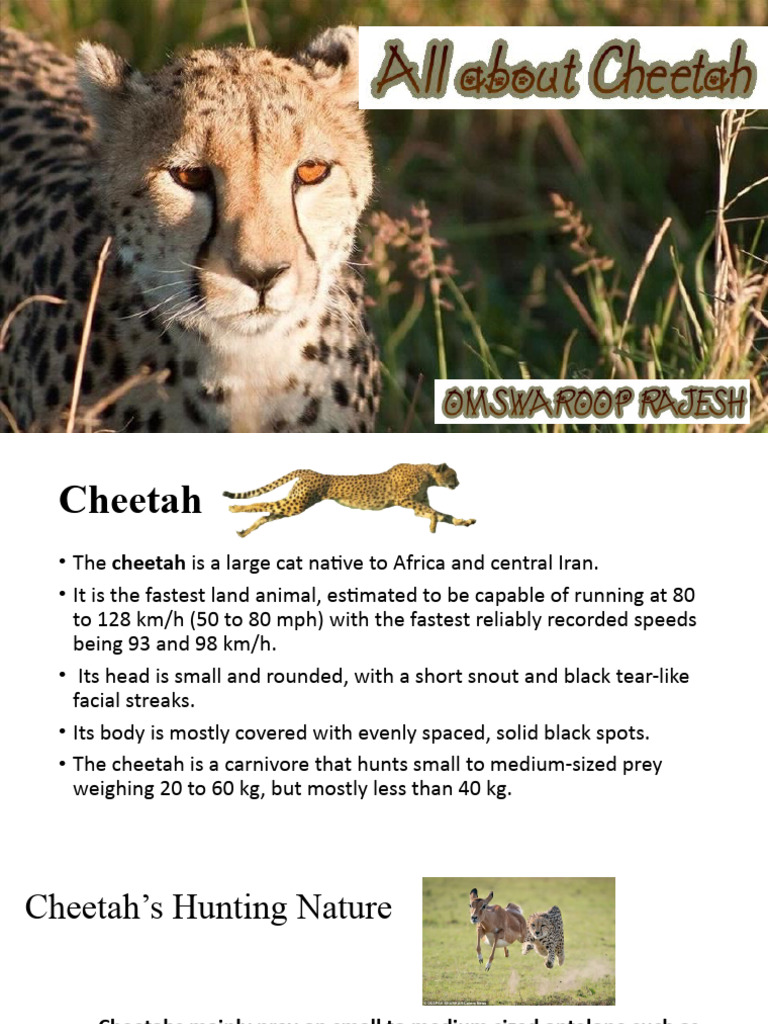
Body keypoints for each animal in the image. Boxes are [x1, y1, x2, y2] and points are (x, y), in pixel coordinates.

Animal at [223, 463, 476, 536]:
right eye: (453, 475)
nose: (459, 483)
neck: (427, 474)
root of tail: (307, 471)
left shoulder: (415, 506)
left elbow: (443, 514)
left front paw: (463, 521)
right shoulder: (403, 499)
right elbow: (435, 513)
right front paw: (433, 526)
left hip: (295, 503)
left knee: (267, 514)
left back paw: (243, 532)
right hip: (297, 504)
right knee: (261, 505)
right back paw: (234, 508)